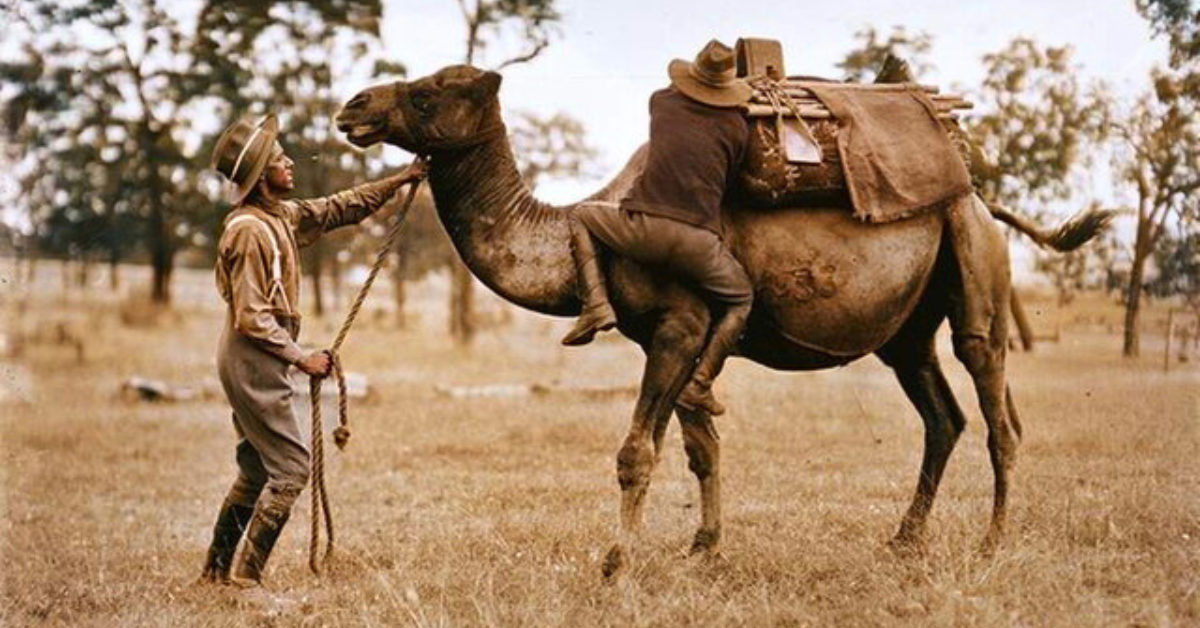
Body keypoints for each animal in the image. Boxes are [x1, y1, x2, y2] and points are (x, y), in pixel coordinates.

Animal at [334, 65, 1110, 576]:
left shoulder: (678, 326)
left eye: (426, 93)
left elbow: (636, 451)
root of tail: (979, 196)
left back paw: (991, 543)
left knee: (996, 405)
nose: (352, 107)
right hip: (906, 330)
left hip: (974, 271)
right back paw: (904, 539)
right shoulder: (680, 336)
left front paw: (617, 560)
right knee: (942, 415)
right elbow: (700, 445)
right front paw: (702, 548)